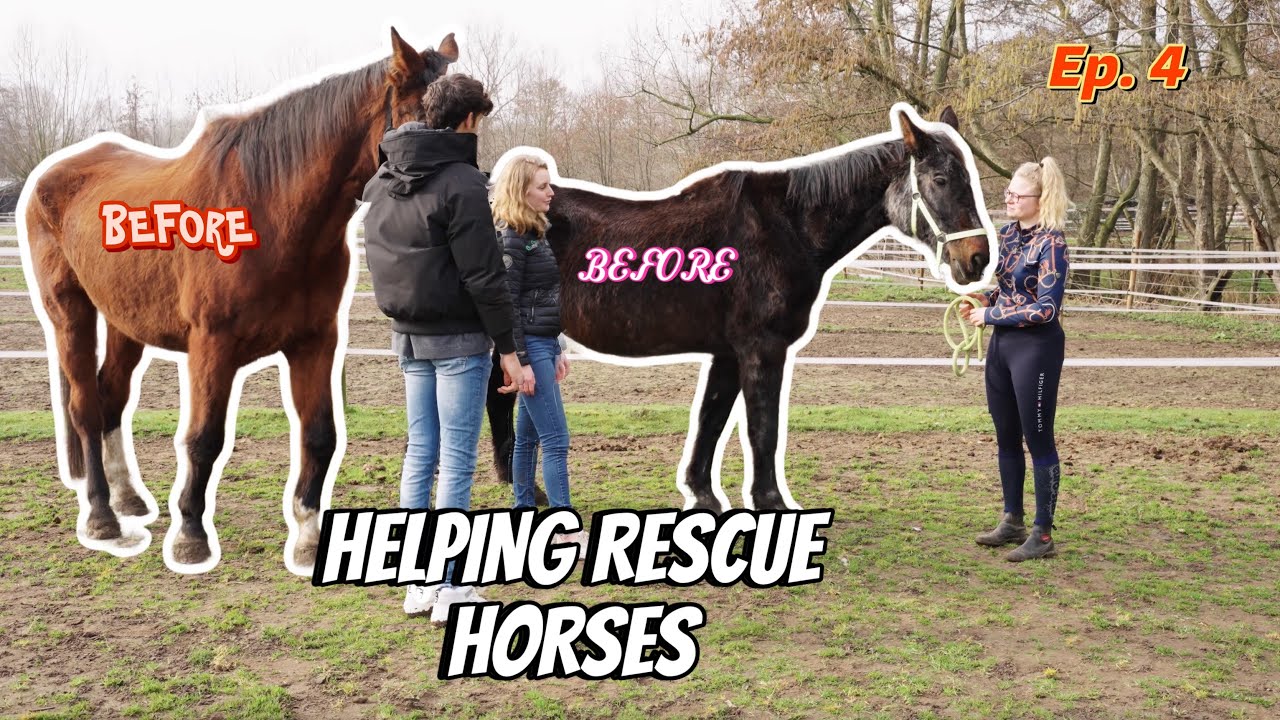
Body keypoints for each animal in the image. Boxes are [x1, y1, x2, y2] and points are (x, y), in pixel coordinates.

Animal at [18, 29, 458, 574]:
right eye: (428, 124)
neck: (268, 208)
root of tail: (52, 171)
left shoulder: (315, 342)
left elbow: (320, 434)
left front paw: (308, 538)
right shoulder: (213, 347)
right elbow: (204, 439)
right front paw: (190, 536)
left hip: (125, 322)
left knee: (110, 398)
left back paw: (128, 499)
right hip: (70, 312)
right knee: (84, 407)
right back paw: (102, 516)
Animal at [486, 104, 997, 512]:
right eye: (941, 179)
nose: (977, 258)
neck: (785, 226)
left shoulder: (728, 354)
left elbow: (712, 420)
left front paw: (703, 495)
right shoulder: (761, 349)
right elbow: (762, 429)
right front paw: (771, 503)